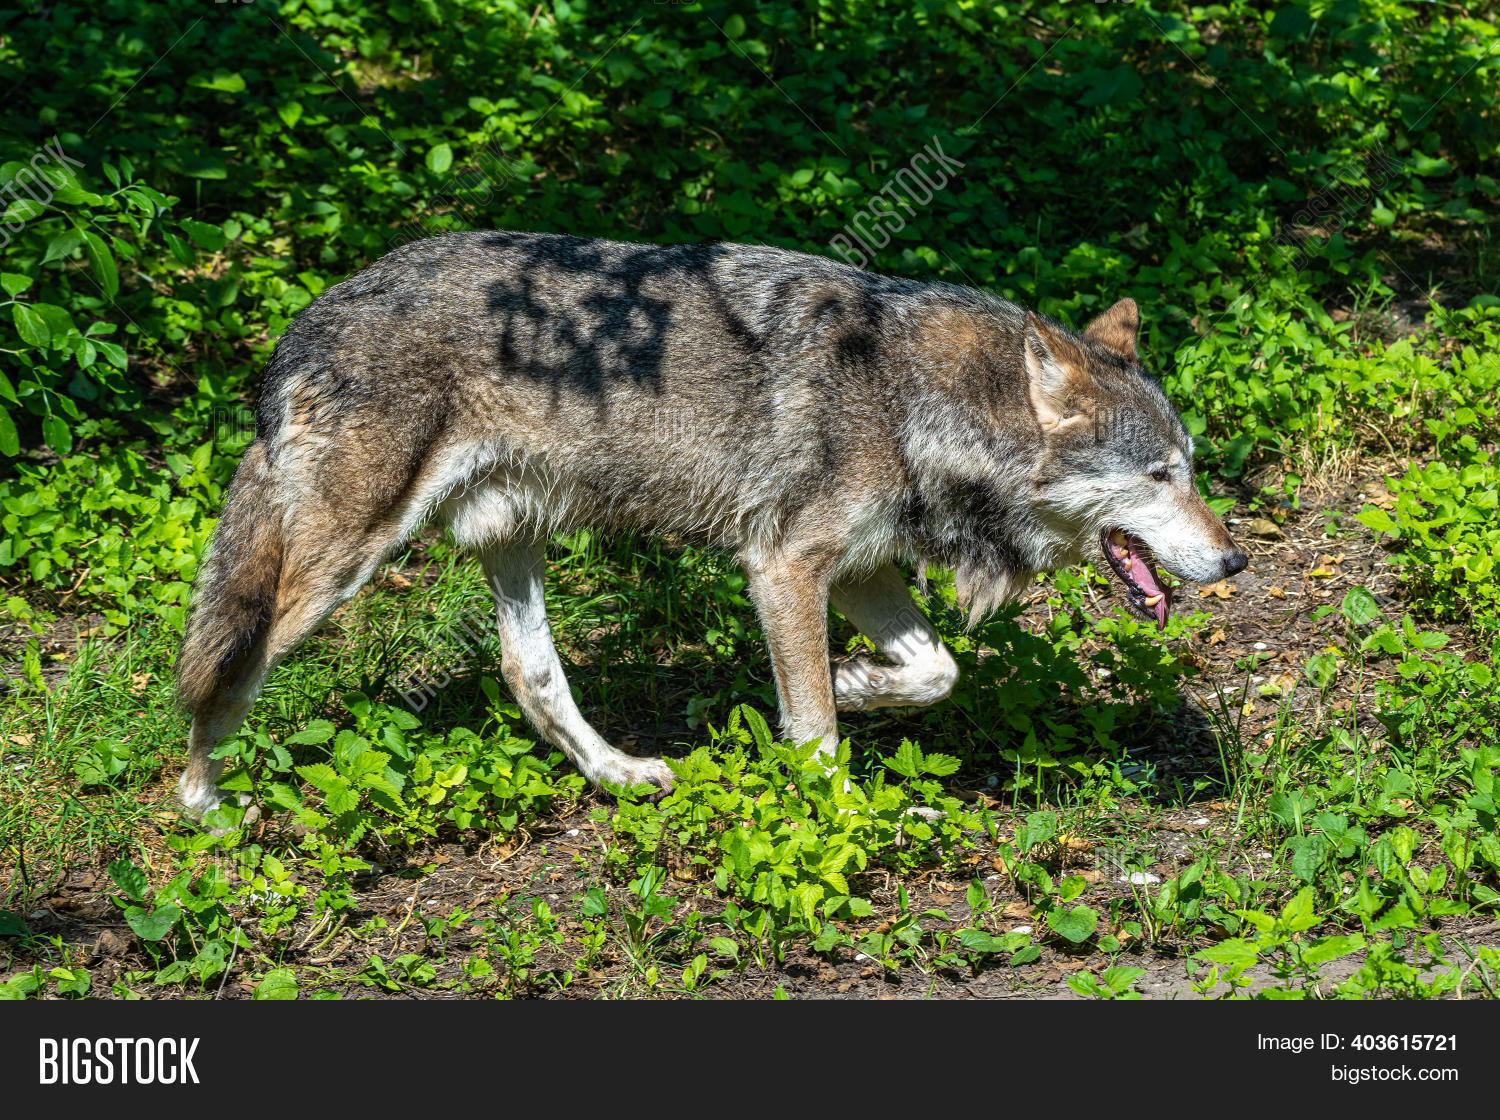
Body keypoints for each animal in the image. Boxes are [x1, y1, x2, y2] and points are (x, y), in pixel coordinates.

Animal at [174, 231, 1247, 821]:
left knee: (531, 675)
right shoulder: (784, 565)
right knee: (233, 667)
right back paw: (204, 808)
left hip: (512, 539)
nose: (1235, 558)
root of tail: (303, 324)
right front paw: (840, 814)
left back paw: (620, 774)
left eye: (1191, 470)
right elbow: (819, 735)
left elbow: (935, 672)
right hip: (336, 570)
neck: (912, 400)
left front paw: (858, 684)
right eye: (1160, 475)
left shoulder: (860, 572)